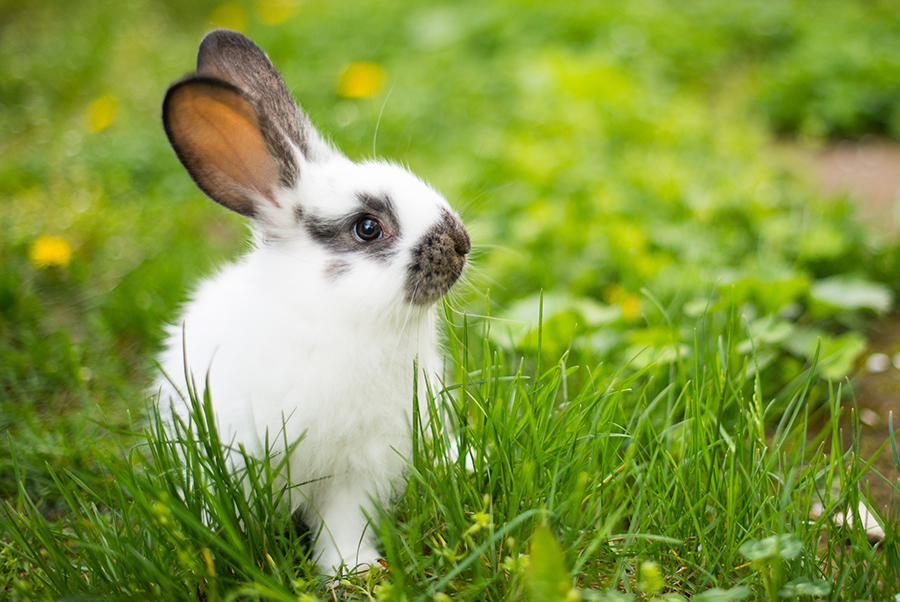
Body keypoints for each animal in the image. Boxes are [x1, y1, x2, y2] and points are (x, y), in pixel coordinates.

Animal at [155, 28, 469, 573]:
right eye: (367, 228)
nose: (461, 243)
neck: (340, 319)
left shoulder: (358, 470)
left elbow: (342, 525)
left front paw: (353, 567)